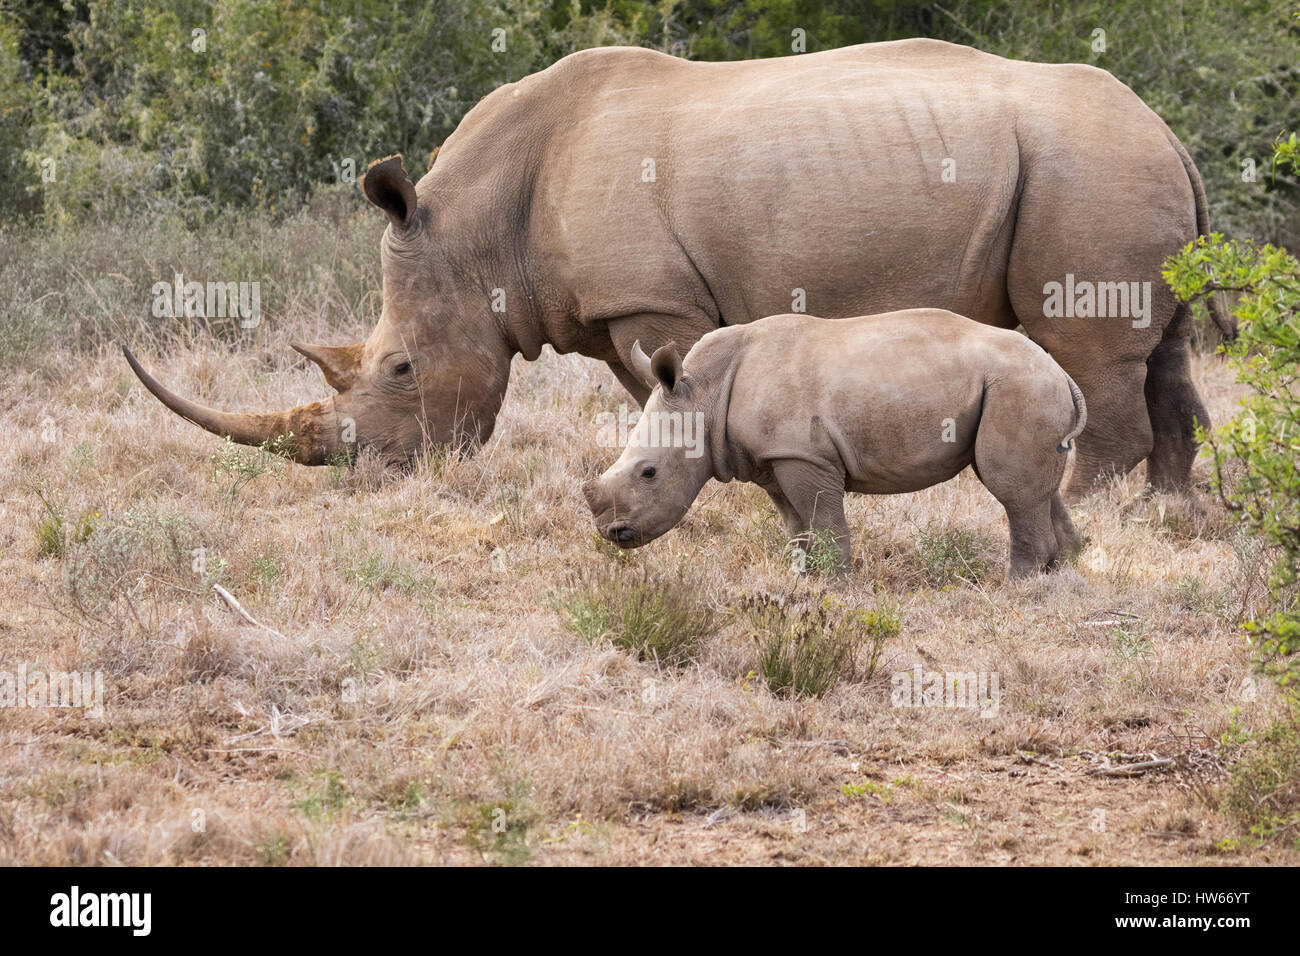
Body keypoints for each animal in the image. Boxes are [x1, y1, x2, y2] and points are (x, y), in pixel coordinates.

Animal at [123, 39, 1228, 495]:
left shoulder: (651, 300)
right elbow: (649, 396)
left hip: (1087, 171)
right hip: (1108, 169)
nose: (366, 473)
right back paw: (1164, 518)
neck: (477, 232)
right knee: (1163, 358)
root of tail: (1170, 133)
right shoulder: (627, 307)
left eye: (398, 369)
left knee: (1090, 357)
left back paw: (1084, 504)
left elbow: (676, 388)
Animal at [583, 309, 1086, 578]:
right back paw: (1060, 579)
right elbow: (796, 527)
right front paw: (801, 581)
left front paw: (837, 590)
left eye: (649, 472)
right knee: (1037, 491)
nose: (613, 534)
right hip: (1026, 387)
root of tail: (1062, 373)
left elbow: (825, 522)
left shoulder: (804, 454)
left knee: (1011, 491)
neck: (704, 393)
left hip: (1018, 386)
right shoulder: (773, 458)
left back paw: (1015, 591)